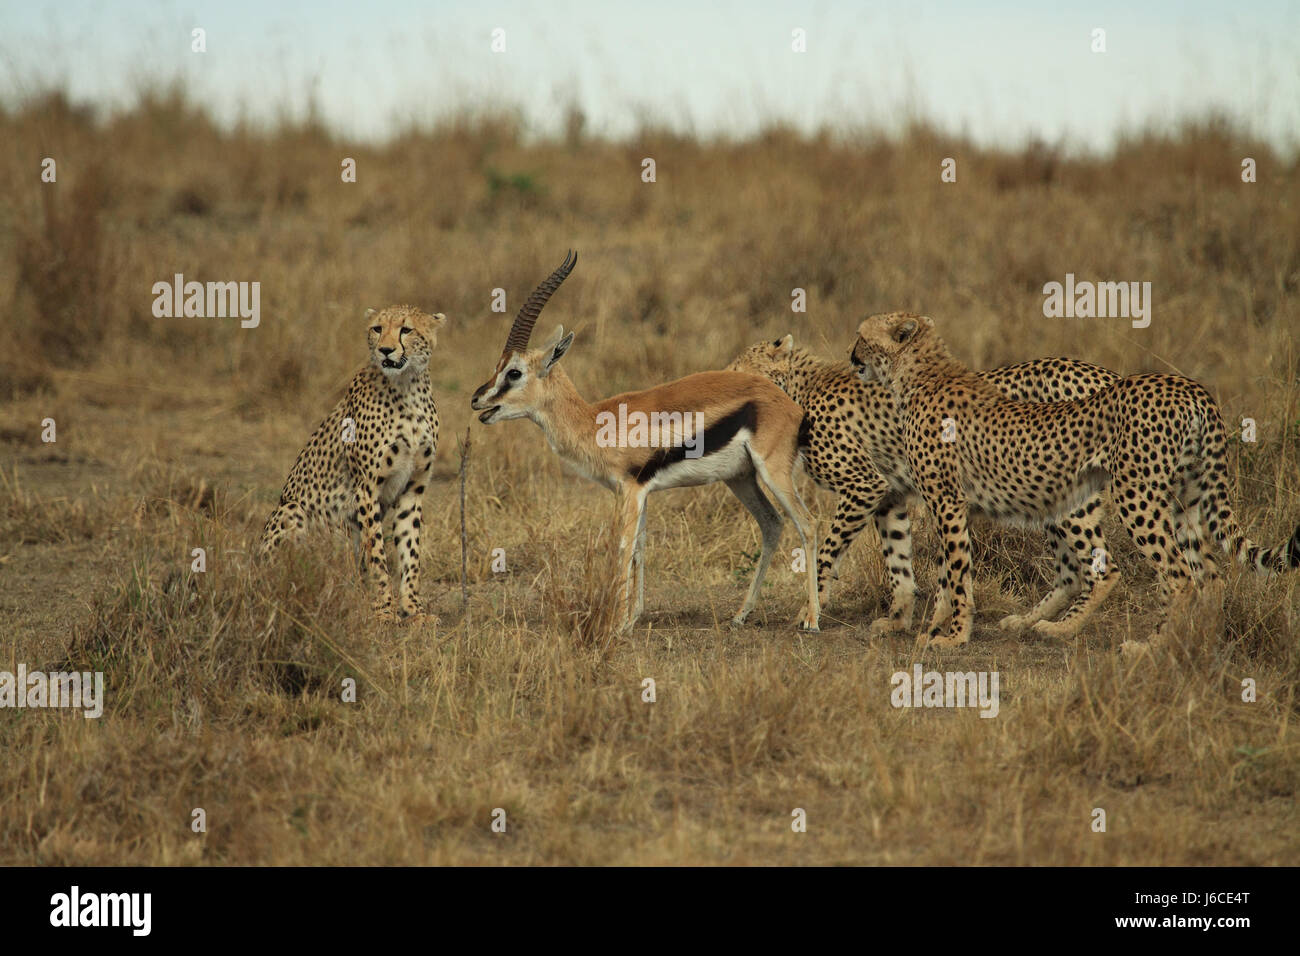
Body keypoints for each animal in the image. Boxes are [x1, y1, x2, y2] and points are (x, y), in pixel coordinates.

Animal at [260, 306, 445, 622]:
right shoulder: (367, 488)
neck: (406, 386)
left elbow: (410, 551)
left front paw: (413, 610)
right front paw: (384, 611)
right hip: (292, 510)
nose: (385, 350)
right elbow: (377, 552)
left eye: (406, 329)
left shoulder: (413, 488)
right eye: (377, 328)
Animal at [471, 251, 821, 634]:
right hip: (740, 478)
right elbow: (639, 546)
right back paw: (742, 614)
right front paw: (629, 621)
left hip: (772, 472)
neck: (593, 421)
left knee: (807, 524)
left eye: (514, 372)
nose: (477, 400)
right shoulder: (640, 491)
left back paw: (811, 619)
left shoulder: (630, 489)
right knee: (772, 524)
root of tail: (790, 404)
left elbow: (623, 548)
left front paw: (613, 627)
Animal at [729, 334, 1121, 638]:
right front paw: (898, 621)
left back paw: (1062, 629)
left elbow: (827, 552)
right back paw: (1026, 622)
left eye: (736, 372)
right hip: (1046, 492)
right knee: (1070, 572)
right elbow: (898, 560)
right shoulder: (887, 493)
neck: (798, 389)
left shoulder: (863, 485)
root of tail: (1104, 374)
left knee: (1102, 568)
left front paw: (810, 612)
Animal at [850, 310, 1300, 650]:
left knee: (1159, 575)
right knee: (1209, 576)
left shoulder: (947, 501)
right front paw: (933, 627)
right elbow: (946, 573)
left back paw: (1148, 645)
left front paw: (954, 636)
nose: (851, 357)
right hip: (1183, 495)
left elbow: (956, 572)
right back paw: (1195, 642)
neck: (918, 374)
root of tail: (1188, 386)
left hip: (1127, 496)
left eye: (861, 336)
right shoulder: (947, 504)